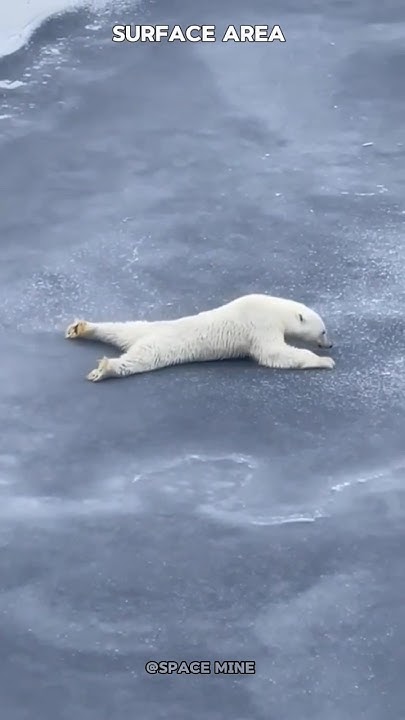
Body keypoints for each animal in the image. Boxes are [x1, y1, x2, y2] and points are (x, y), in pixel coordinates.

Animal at [65, 293, 335, 382]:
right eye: (323, 330)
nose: (330, 344)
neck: (274, 309)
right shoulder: (260, 325)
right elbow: (274, 353)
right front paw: (325, 362)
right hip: (159, 346)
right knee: (138, 360)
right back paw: (104, 369)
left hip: (140, 329)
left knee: (119, 328)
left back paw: (81, 328)